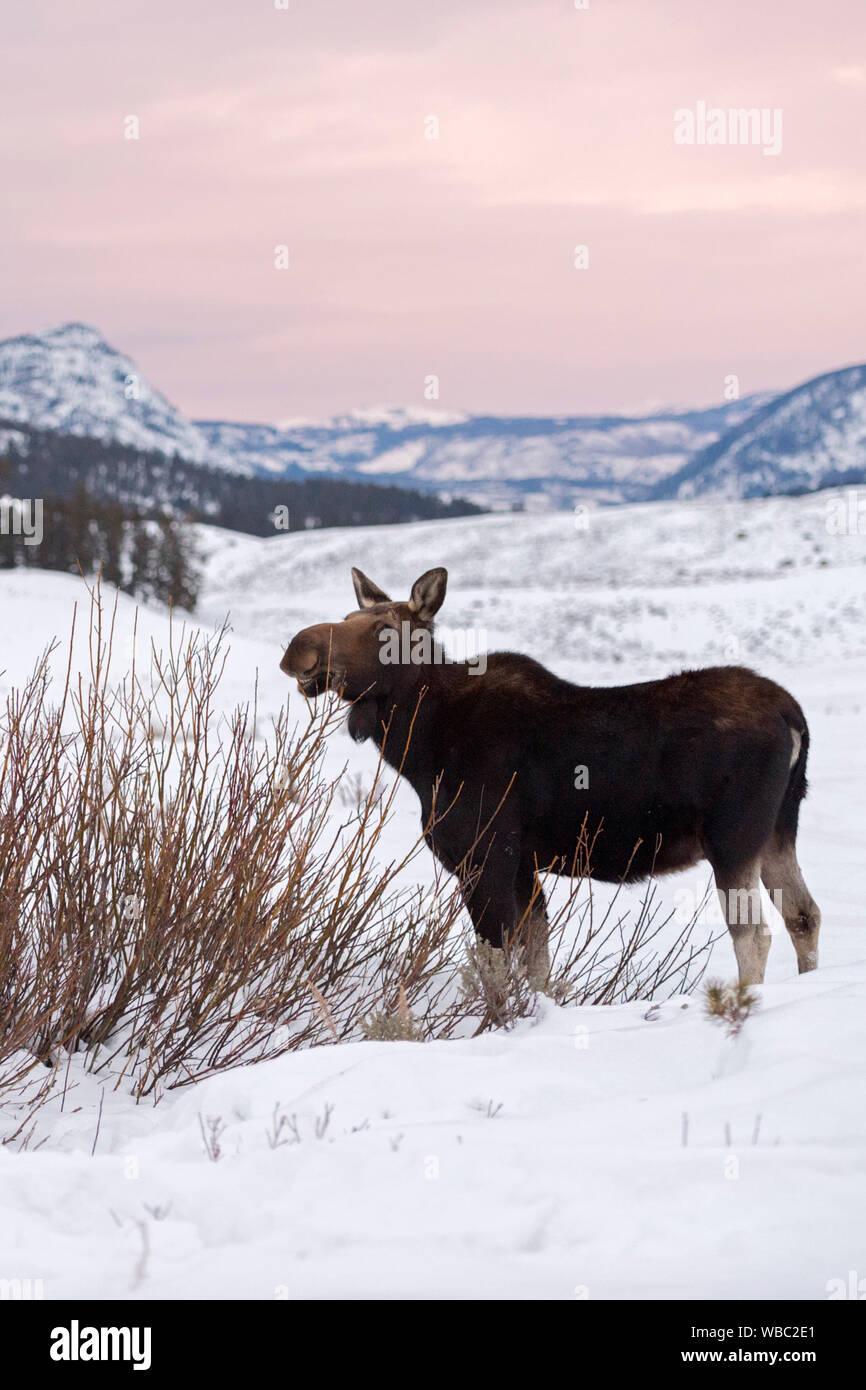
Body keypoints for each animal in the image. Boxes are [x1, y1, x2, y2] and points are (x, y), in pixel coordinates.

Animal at [281, 566, 821, 989]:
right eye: (348, 619)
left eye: (383, 628)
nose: (297, 649)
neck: (419, 752)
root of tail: (794, 716)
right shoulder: (522, 864)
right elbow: (536, 961)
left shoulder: (486, 857)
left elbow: (496, 967)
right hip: (778, 830)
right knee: (803, 915)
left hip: (732, 838)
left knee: (754, 934)